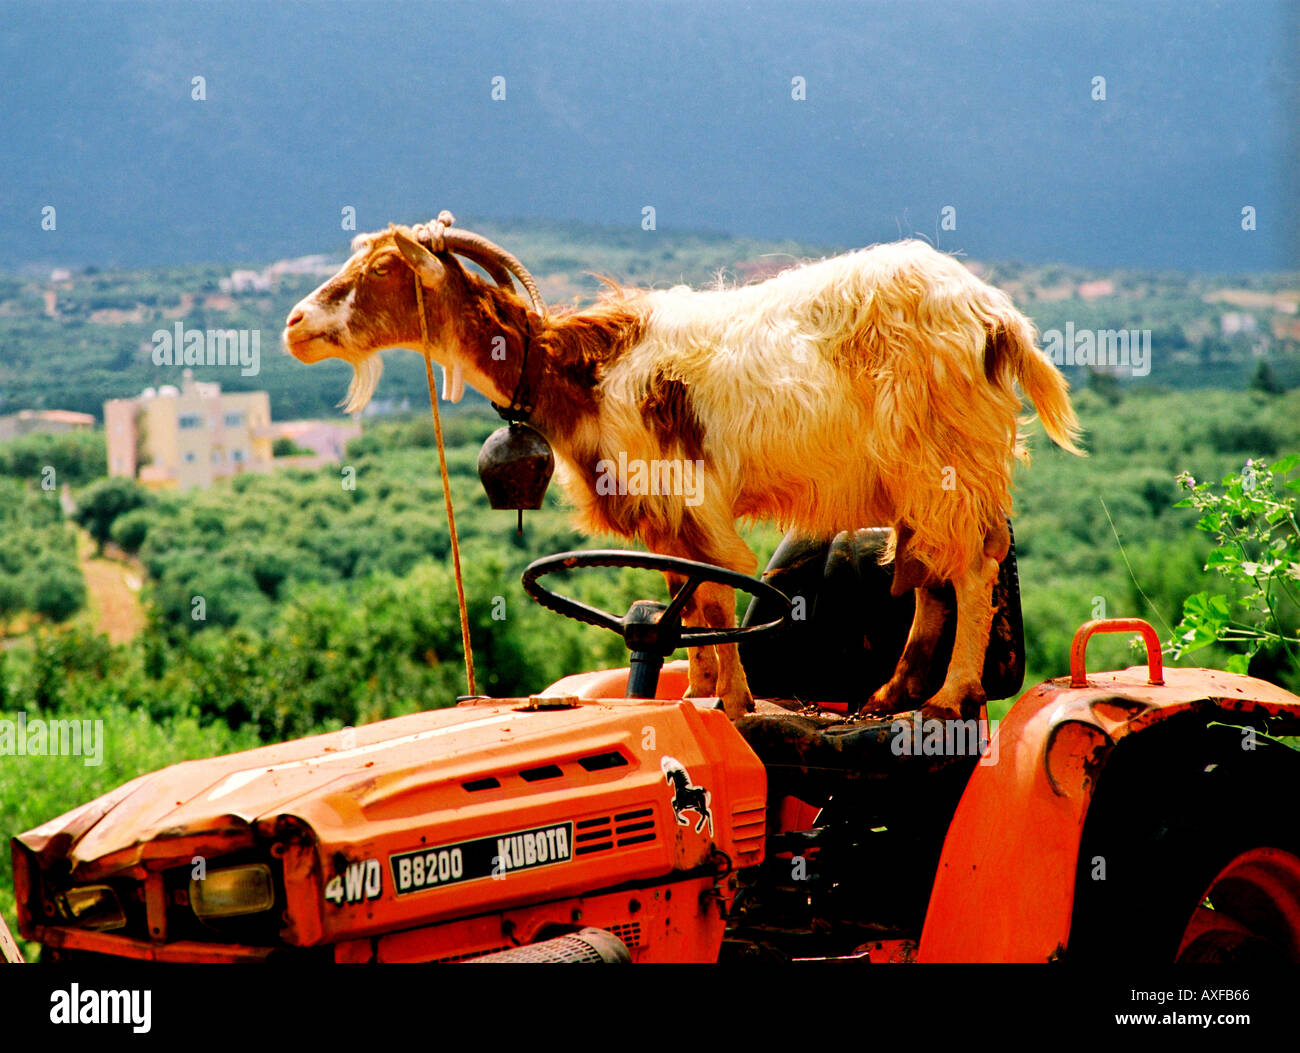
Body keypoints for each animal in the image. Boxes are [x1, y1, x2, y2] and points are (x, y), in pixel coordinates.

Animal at [283, 216, 1083, 721]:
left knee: (972, 567)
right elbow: (684, 596)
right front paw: (693, 693)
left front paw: (733, 703)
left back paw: (951, 696)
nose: (293, 324)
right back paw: (894, 694)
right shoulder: (661, 516)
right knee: (929, 574)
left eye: (381, 269)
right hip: (924, 469)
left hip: (943, 453)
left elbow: (718, 596)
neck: (586, 370)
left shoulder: (689, 496)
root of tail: (997, 318)